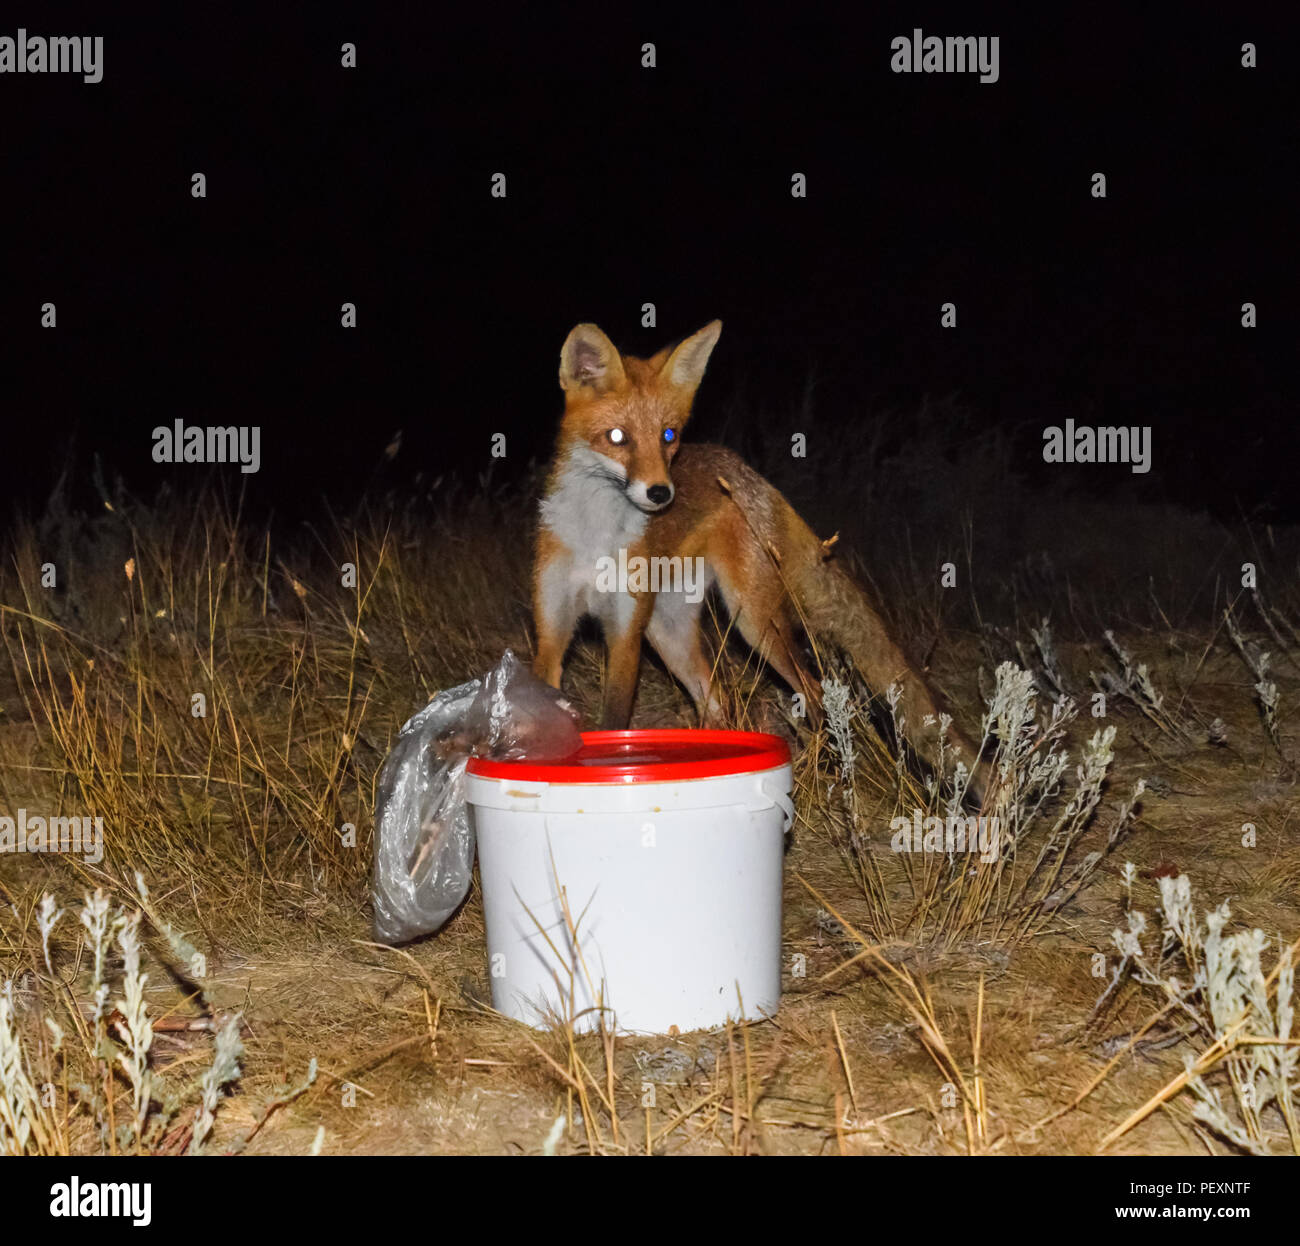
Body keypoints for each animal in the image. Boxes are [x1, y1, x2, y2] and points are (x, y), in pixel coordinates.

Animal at [532, 319, 988, 802]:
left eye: (668, 436)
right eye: (617, 437)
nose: (660, 493)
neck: (594, 535)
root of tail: (749, 473)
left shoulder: (624, 633)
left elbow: (615, 720)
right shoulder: (552, 628)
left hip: (752, 622)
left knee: (813, 692)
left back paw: (814, 768)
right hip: (668, 633)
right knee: (717, 701)